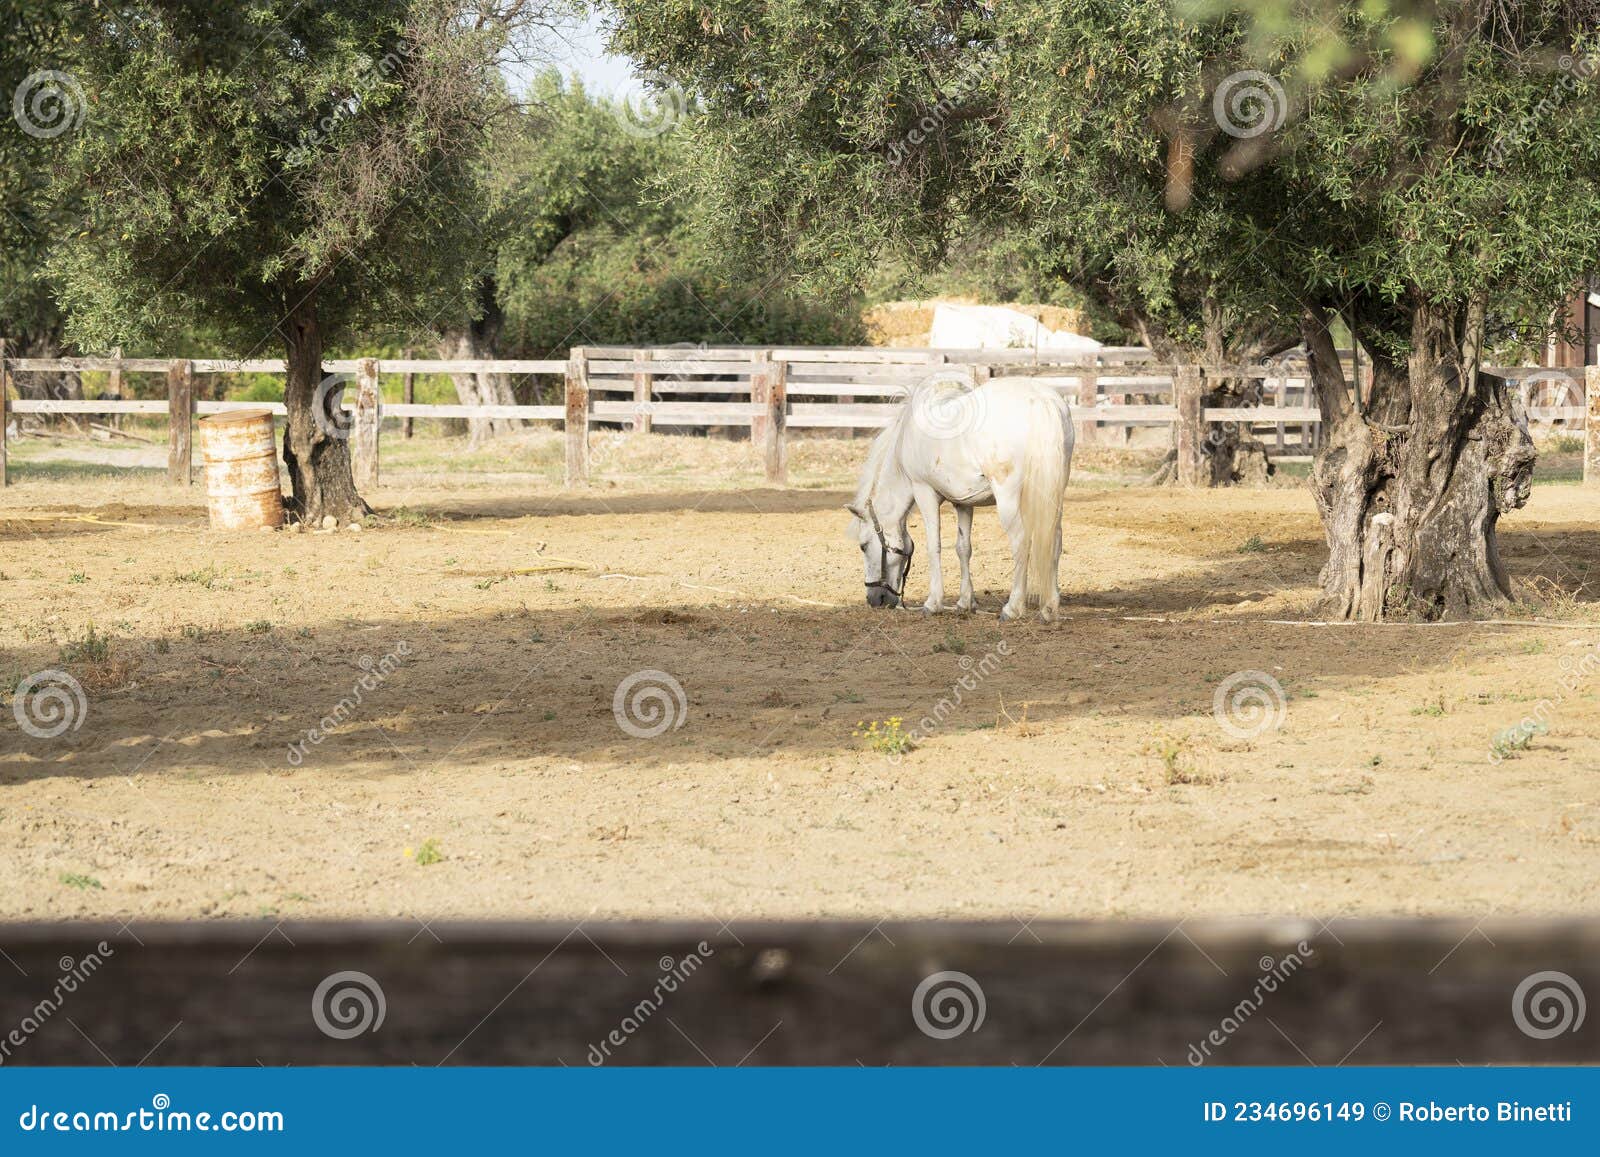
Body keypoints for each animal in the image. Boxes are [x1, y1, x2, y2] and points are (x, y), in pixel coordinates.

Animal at [846, 375, 1074, 621]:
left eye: (863, 546)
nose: (875, 599)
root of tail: (1039, 399)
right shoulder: (963, 503)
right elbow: (963, 548)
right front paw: (965, 602)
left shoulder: (924, 492)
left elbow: (934, 546)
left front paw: (933, 603)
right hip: (1053, 496)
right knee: (1056, 540)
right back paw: (1049, 607)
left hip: (1008, 499)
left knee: (1021, 542)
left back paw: (1012, 608)